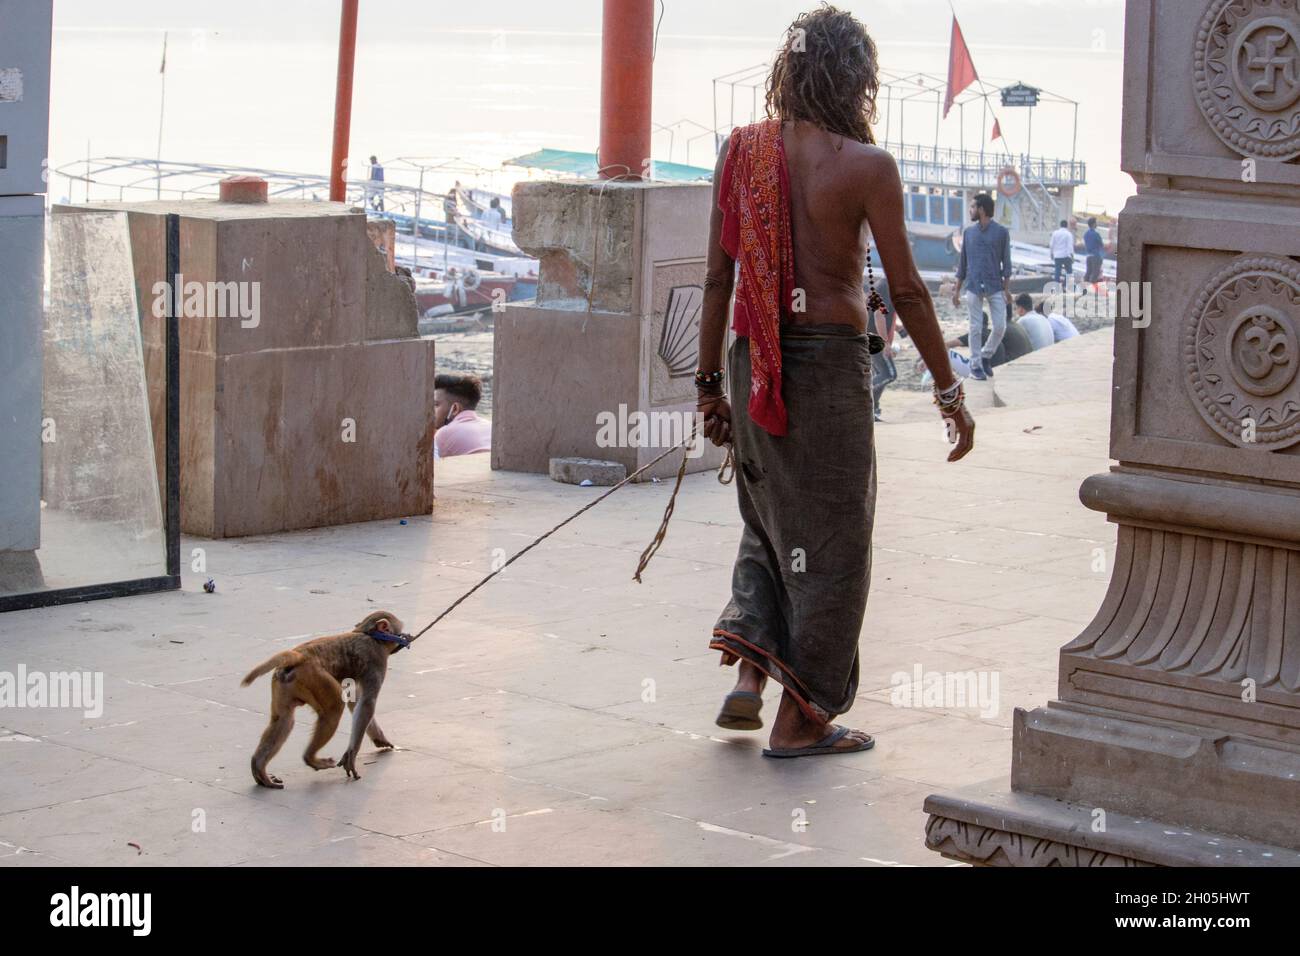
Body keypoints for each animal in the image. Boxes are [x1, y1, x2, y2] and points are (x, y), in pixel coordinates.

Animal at [241, 610, 415, 788]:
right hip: (316, 678)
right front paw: (351, 755)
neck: (368, 633)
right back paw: (310, 758)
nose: (407, 637)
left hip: (283, 684)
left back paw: (260, 769)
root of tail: (298, 656)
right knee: (334, 708)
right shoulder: (376, 659)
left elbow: (356, 699)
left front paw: (379, 738)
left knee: (283, 719)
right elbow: (366, 703)